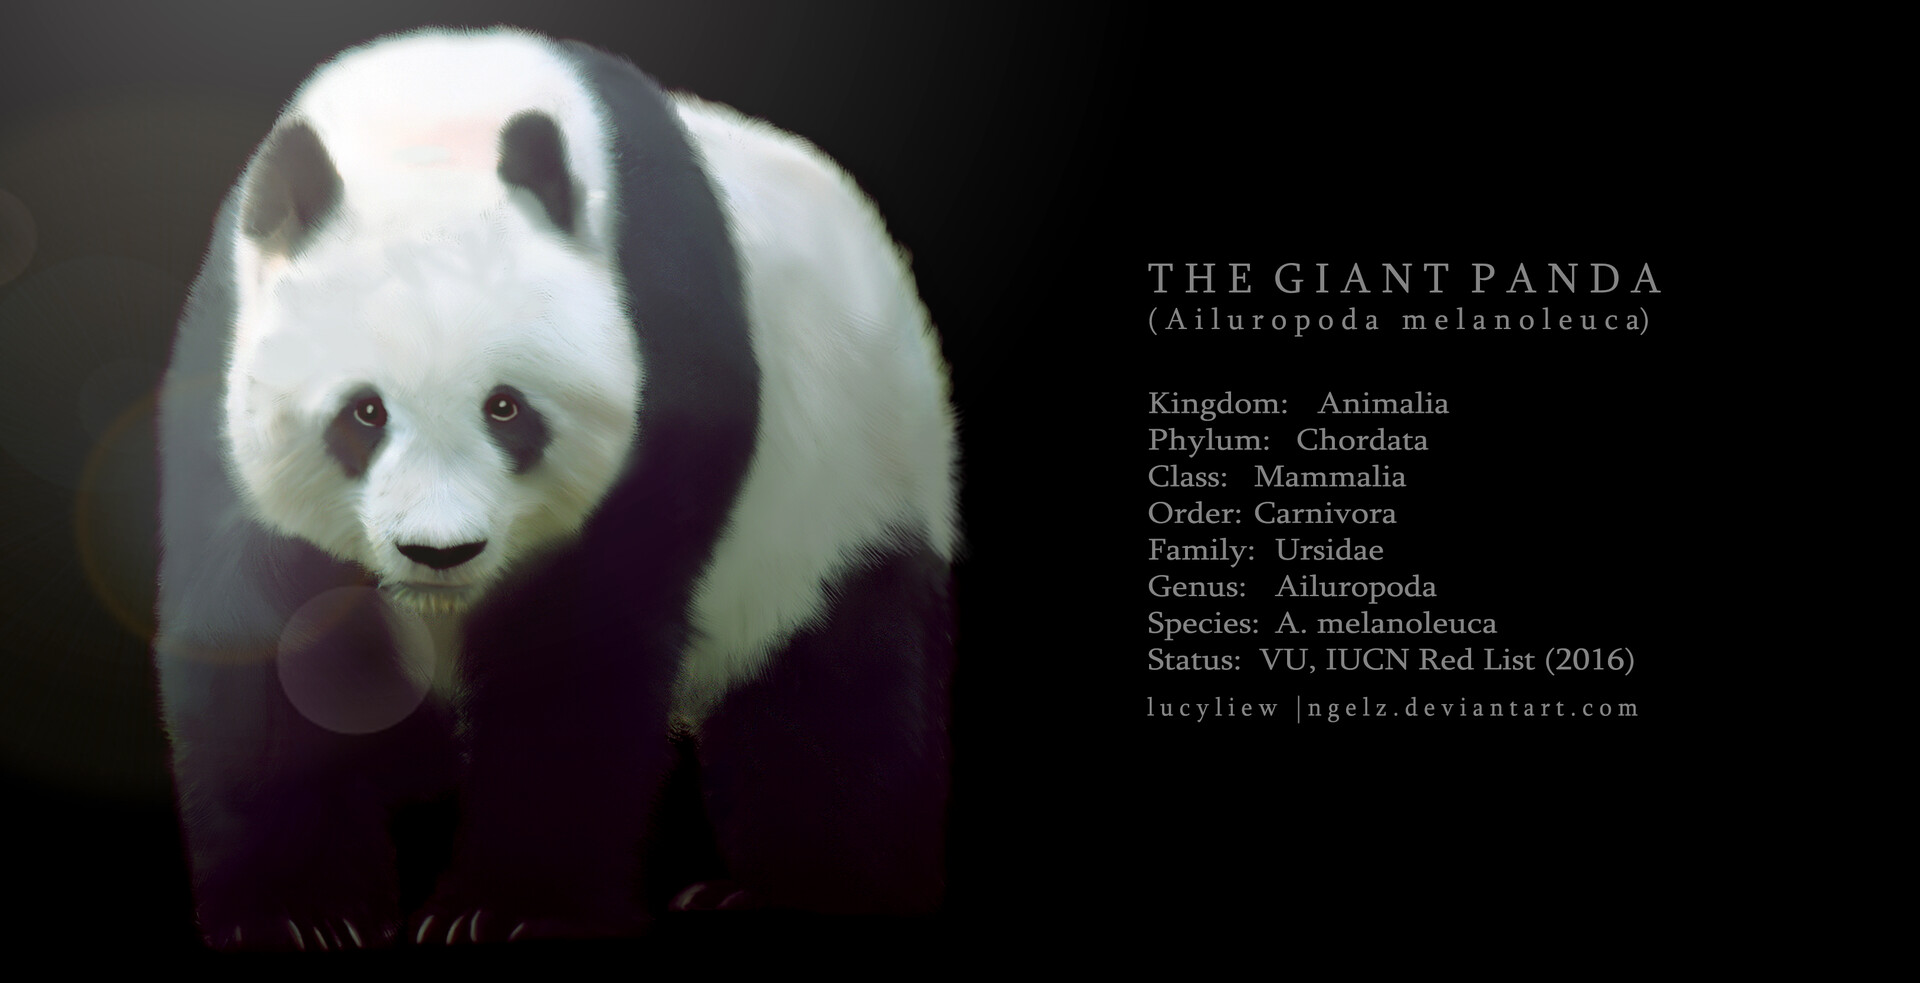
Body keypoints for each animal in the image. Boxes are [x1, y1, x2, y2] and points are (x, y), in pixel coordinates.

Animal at [154, 27, 957, 949]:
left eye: (505, 408)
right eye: (365, 412)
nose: (440, 551)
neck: (436, 116)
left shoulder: (667, 340)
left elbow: (585, 637)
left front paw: (507, 908)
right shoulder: (222, 358)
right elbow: (260, 625)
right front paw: (299, 912)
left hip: (848, 486)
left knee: (834, 694)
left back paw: (801, 889)